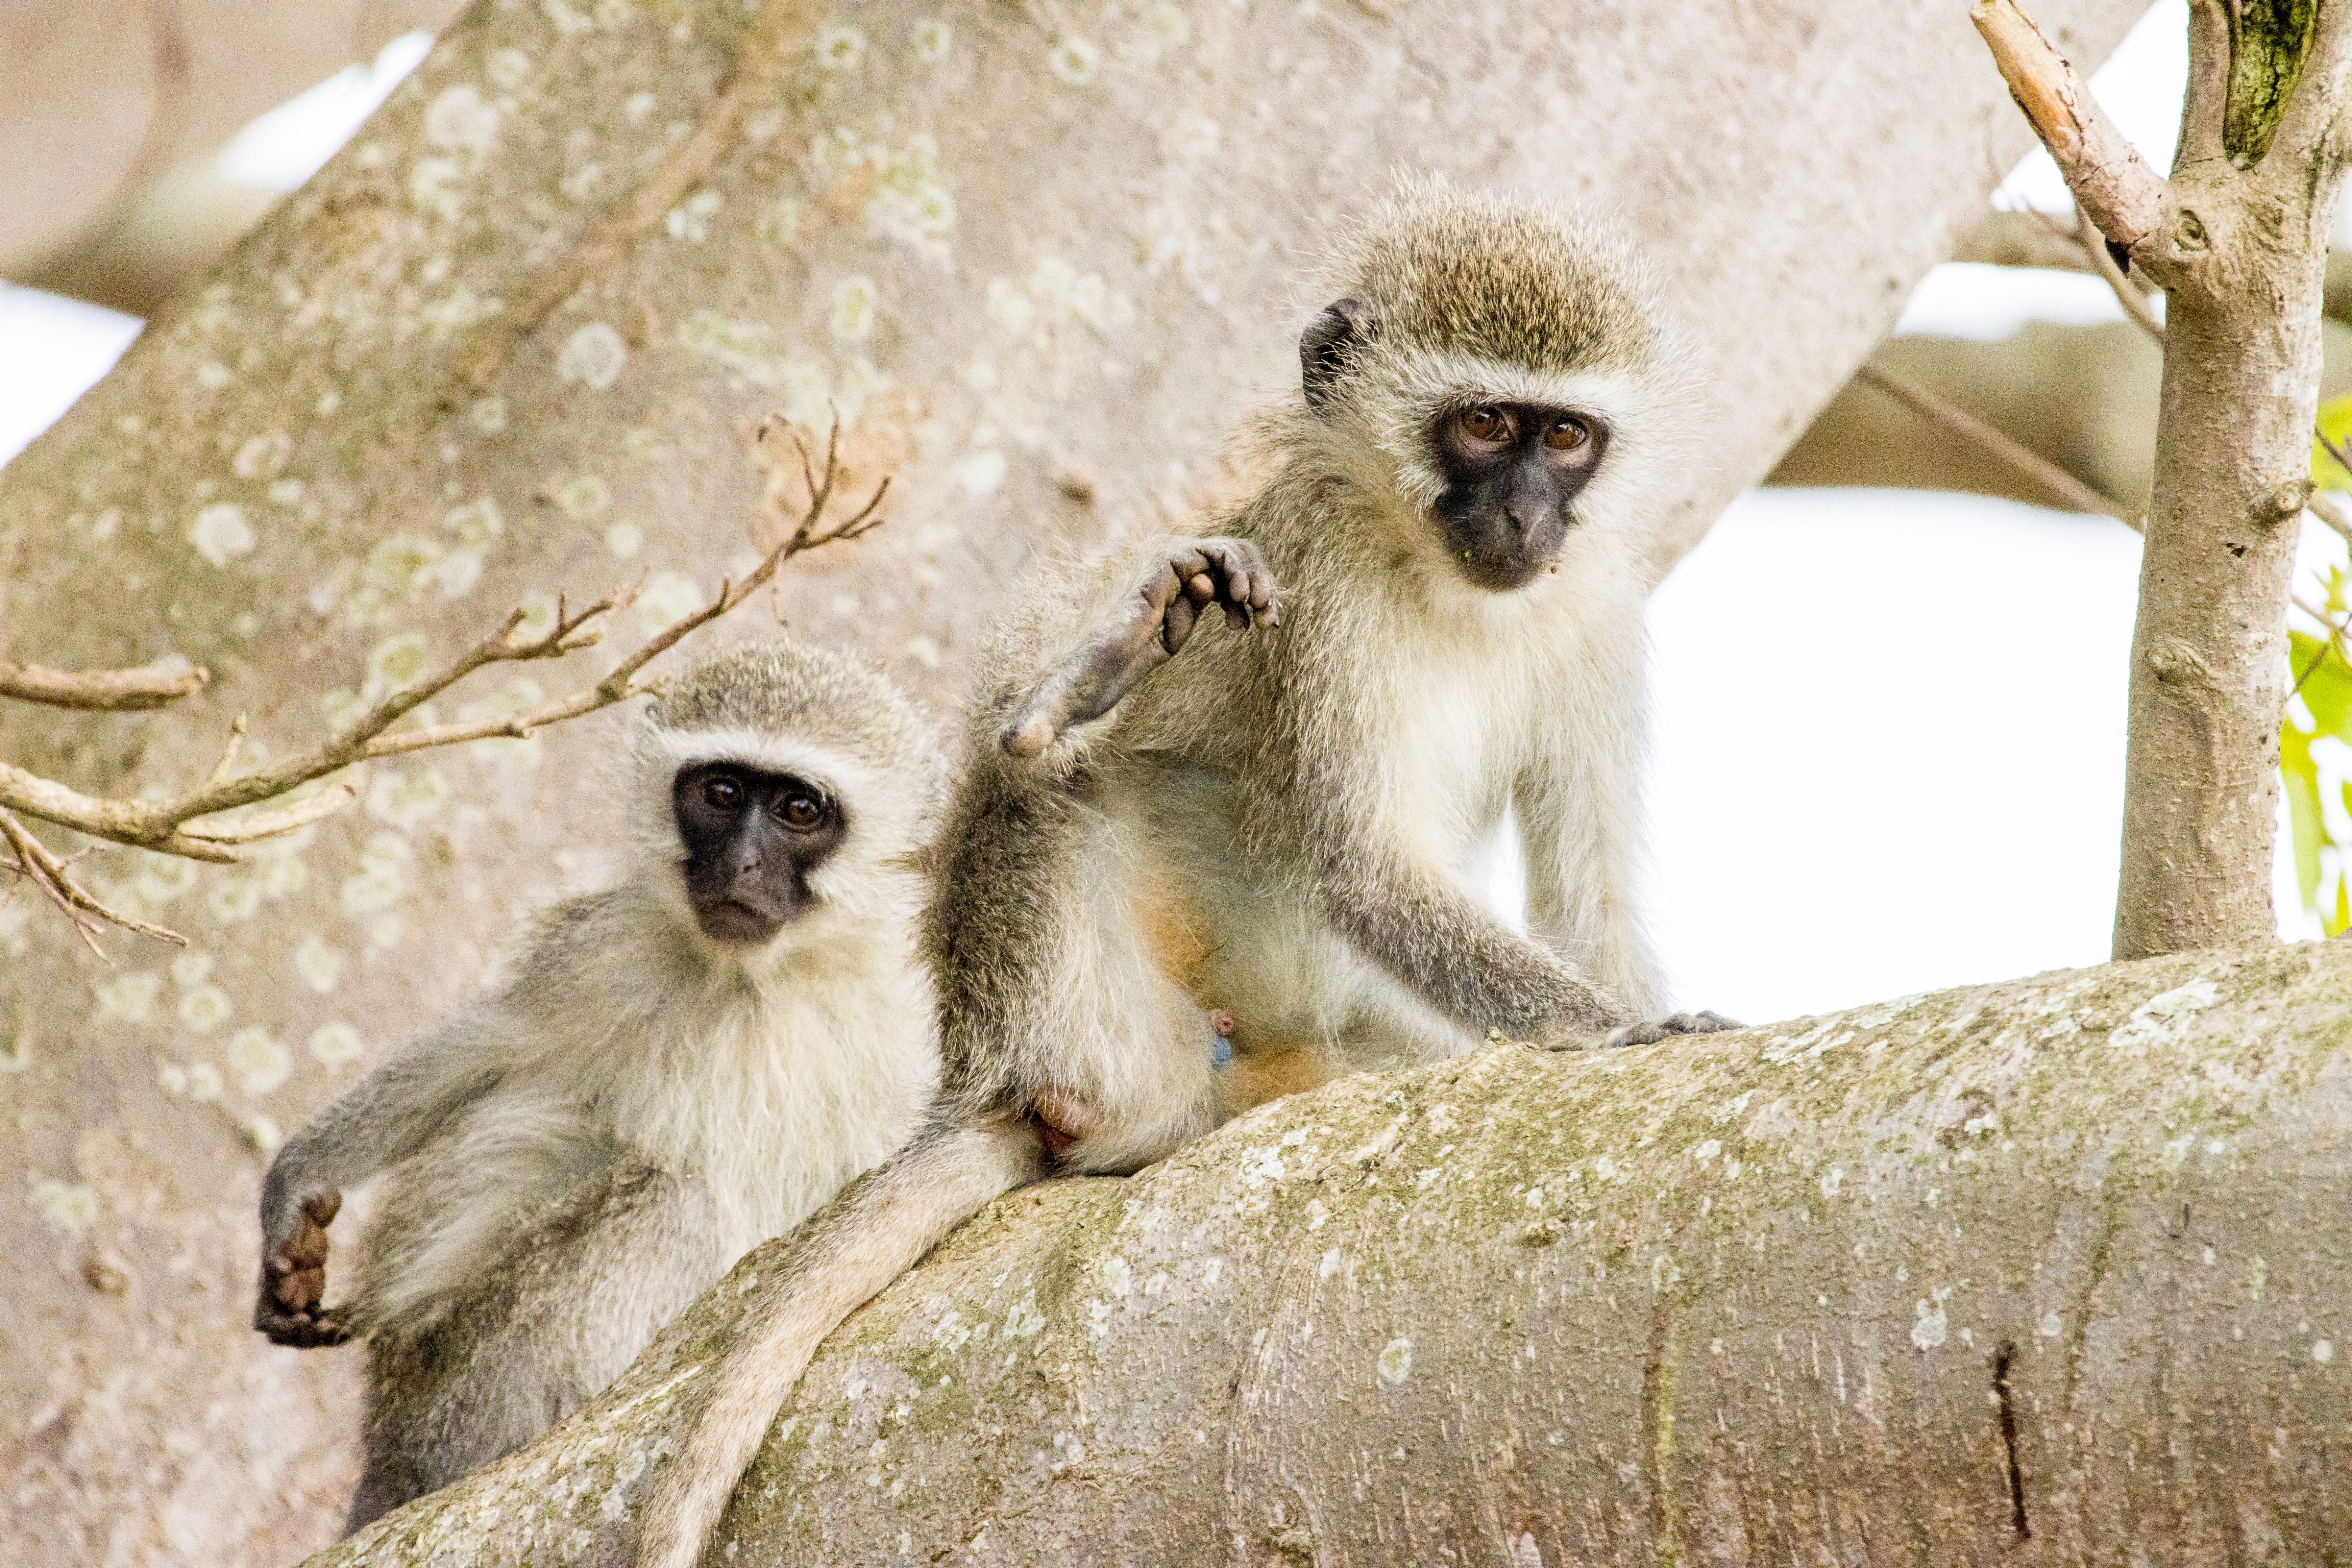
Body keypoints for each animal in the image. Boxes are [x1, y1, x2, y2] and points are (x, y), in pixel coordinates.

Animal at [252, 637, 945, 1534]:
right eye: (722, 794)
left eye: (800, 810)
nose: (741, 864)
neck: (756, 980)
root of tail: (394, 1457)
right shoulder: (600, 953)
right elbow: (495, 1040)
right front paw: (298, 1180)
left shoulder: (912, 1013)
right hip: (466, 1387)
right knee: (673, 1198)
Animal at [636, 176, 1737, 1568]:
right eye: (1485, 425)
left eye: (1567, 436)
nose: (1527, 519)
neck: (1437, 577)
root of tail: (992, 1061)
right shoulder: (1322, 589)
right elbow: (1369, 869)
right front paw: (1632, 1030)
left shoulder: (1590, 607)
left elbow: (1586, 893)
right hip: (1087, 992)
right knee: (1052, 790)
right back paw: (1077, 700)